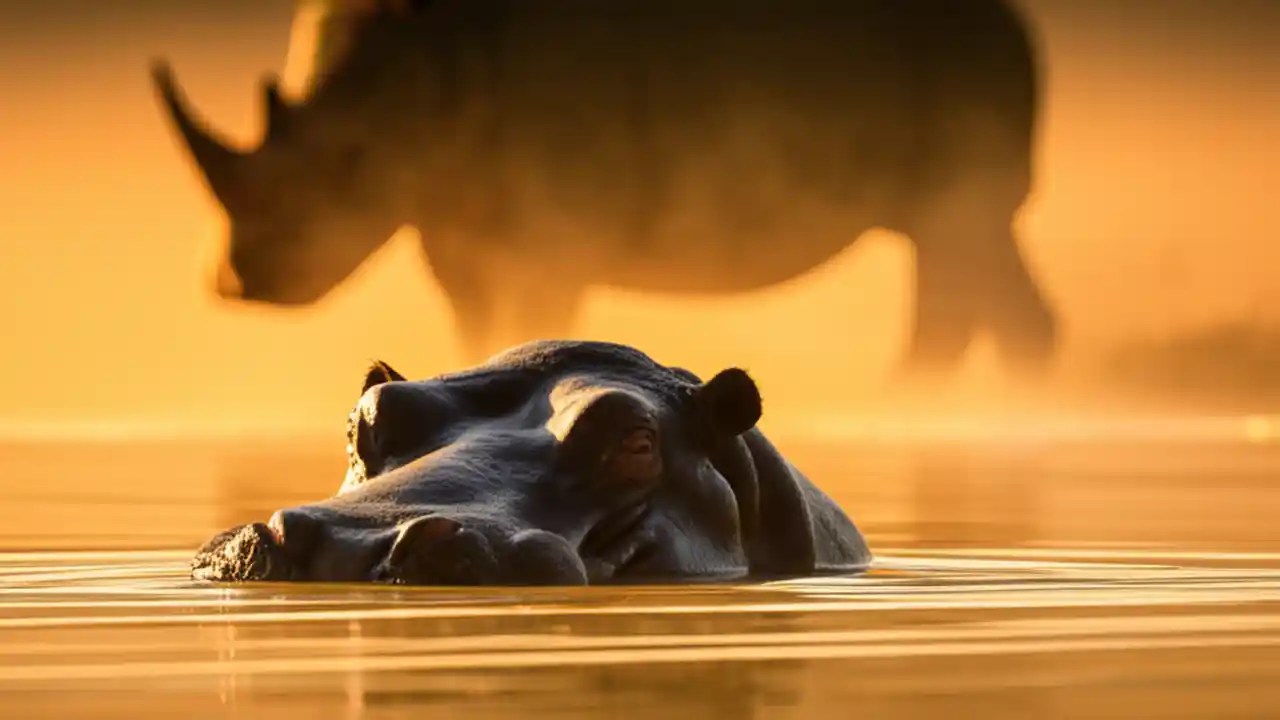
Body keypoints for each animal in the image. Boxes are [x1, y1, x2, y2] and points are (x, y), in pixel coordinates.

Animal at [152, 0, 1057, 377]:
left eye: (349, 167)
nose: (239, 283)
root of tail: (1019, 25)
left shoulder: (551, 230)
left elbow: (530, 323)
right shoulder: (452, 220)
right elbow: (476, 328)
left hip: (962, 80)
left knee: (958, 233)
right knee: (972, 246)